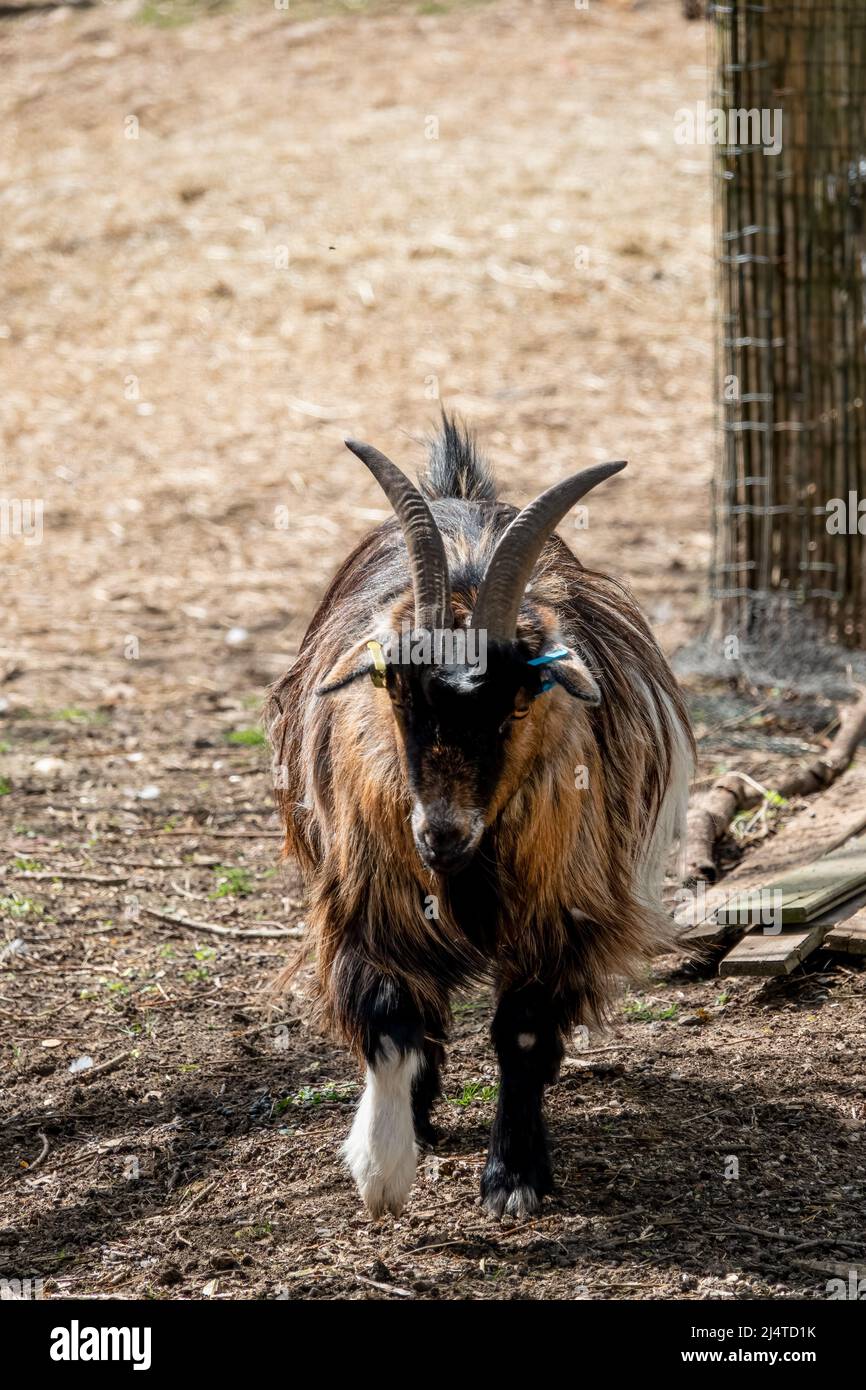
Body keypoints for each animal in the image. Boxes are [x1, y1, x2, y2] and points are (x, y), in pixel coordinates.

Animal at [267, 416, 693, 1220]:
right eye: (395, 689)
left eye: (518, 701)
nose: (442, 834)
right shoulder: (373, 894)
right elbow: (391, 1017)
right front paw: (382, 1167)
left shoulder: (559, 904)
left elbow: (522, 1035)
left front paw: (514, 1176)